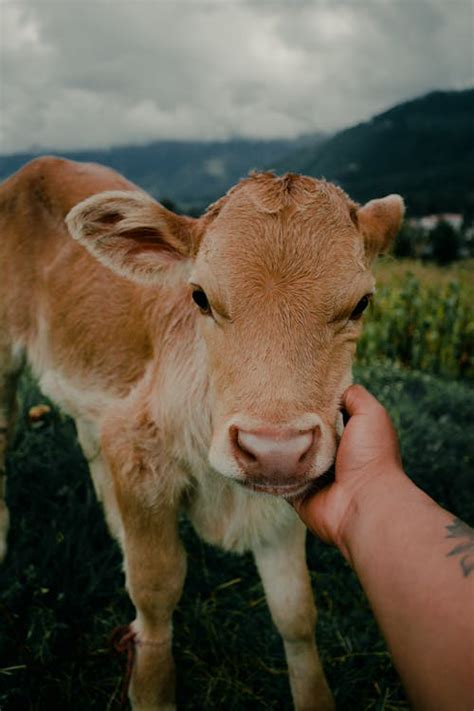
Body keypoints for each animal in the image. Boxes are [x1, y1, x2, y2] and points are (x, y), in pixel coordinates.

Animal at [0, 157, 404, 710]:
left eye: (361, 303)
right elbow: (156, 589)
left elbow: (296, 612)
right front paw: (151, 687)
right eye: (200, 297)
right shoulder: (140, 458)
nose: (274, 450)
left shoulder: (283, 503)